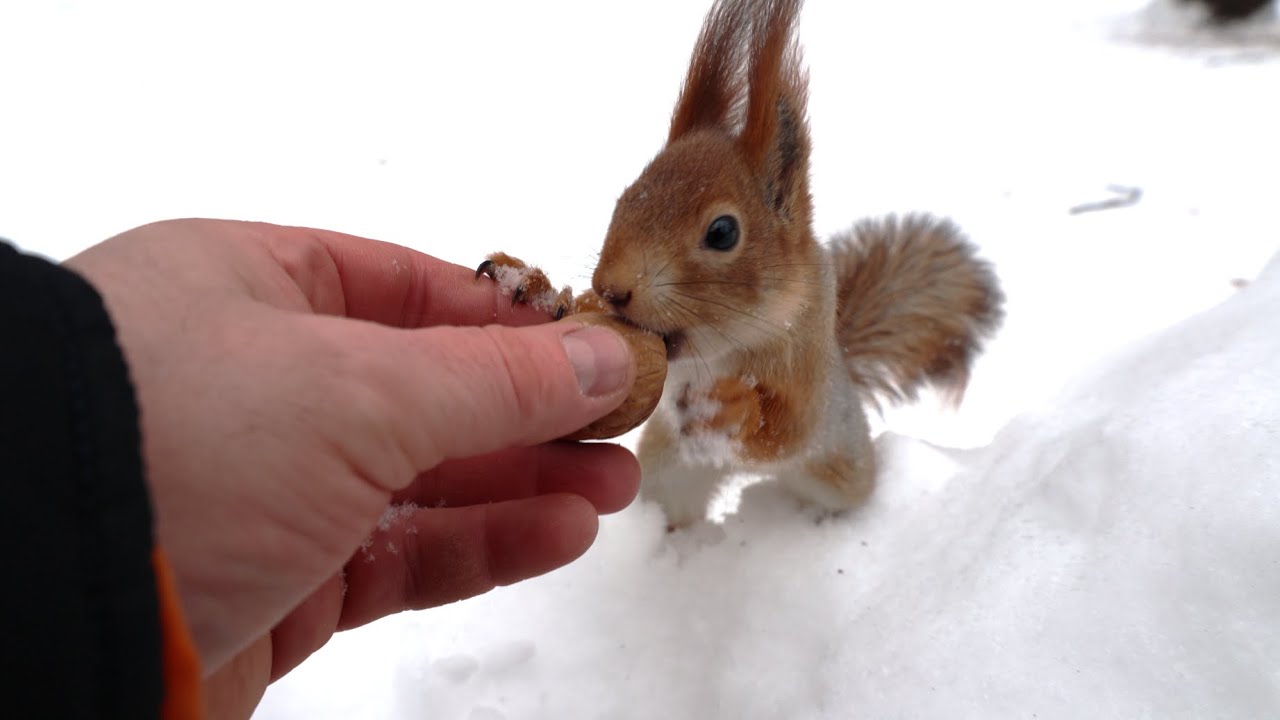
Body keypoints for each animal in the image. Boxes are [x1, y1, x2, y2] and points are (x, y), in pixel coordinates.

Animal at [477, 0, 1004, 527]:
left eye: (723, 232)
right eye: (624, 198)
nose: (612, 289)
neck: (718, 352)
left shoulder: (804, 372)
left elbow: (786, 429)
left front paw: (728, 410)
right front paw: (538, 288)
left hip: (841, 466)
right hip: (667, 471)